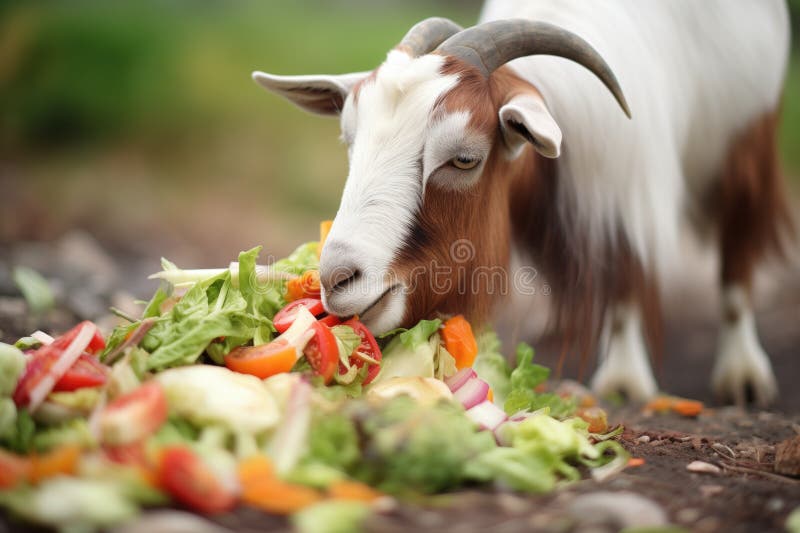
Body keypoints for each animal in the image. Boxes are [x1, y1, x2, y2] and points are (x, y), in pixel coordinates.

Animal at [253, 0, 792, 406]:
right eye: (350, 141)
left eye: (465, 158)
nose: (336, 278)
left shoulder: (631, 188)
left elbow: (626, 272)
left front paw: (623, 381)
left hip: (744, 141)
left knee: (737, 244)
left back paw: (743, 372)